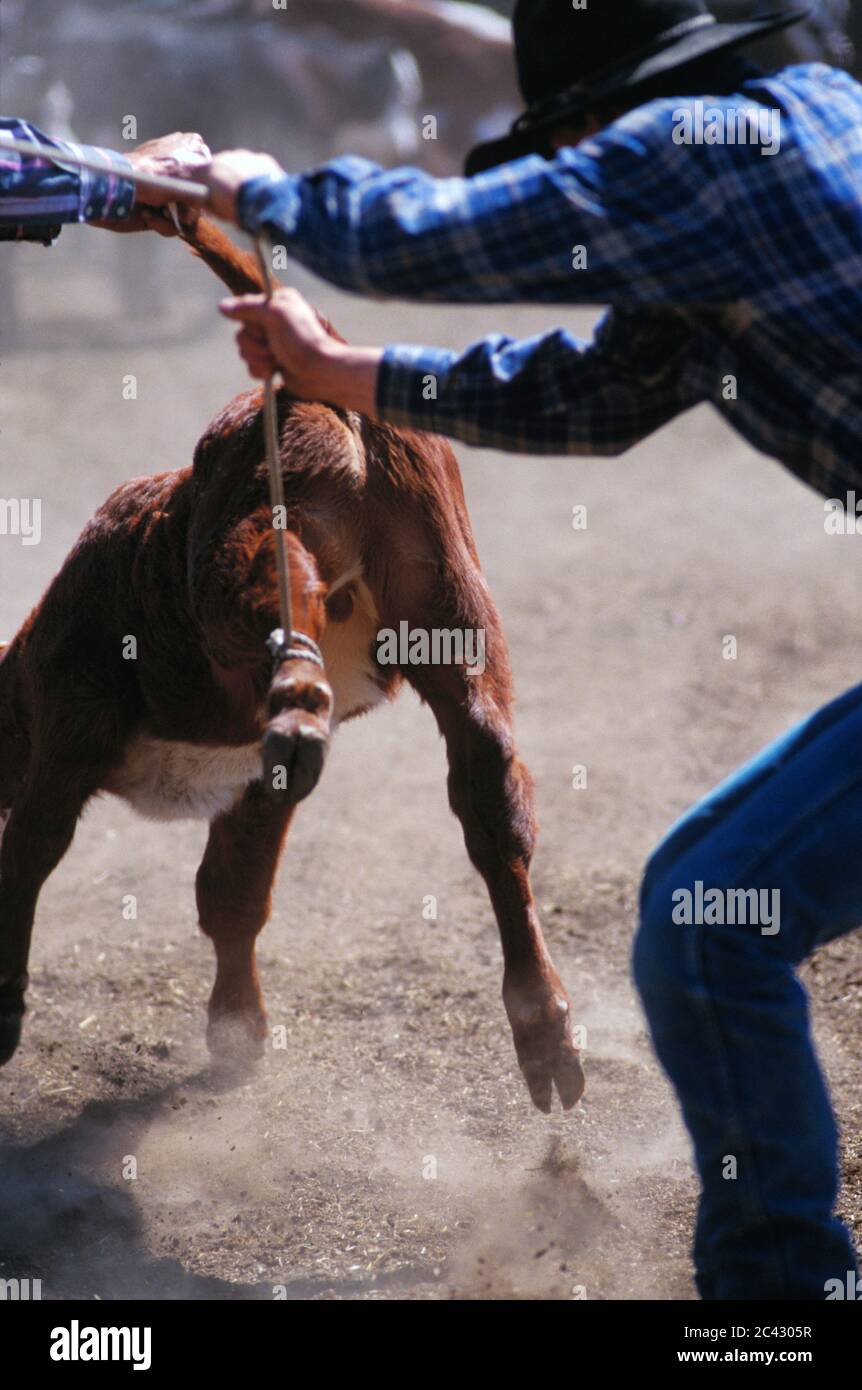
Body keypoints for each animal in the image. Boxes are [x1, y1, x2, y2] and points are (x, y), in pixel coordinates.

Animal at [0, 215, 584, 1114]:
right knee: (491, 790)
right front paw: (239, 1034)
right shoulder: (245, 785)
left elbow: (31, 853)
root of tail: (315, 388)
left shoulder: (68, 735)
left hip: (253, 549)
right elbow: (231, 892)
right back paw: (544, 1028)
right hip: (454, 607)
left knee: (277, 617)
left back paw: (302, 698)